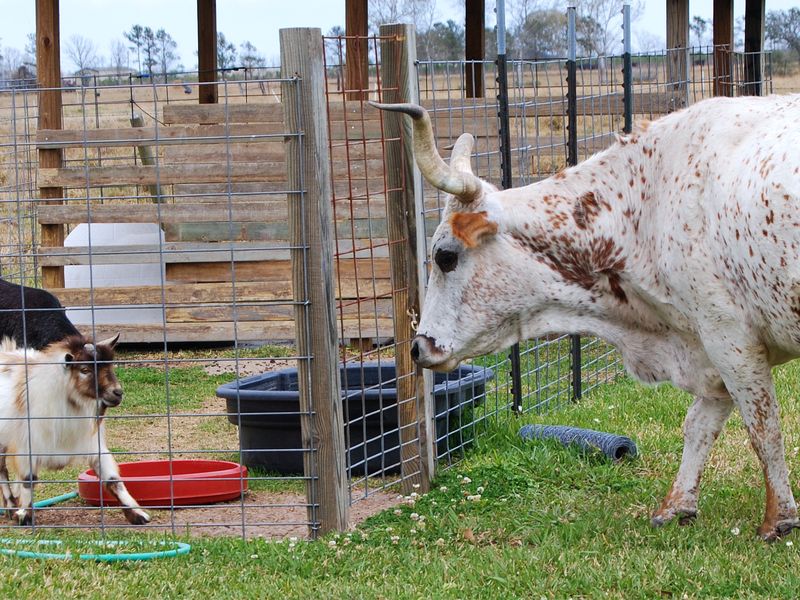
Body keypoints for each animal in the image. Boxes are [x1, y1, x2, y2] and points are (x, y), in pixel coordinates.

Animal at [0, 334, 150, 525]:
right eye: (84, 369)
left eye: (110, 365)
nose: (117, 393)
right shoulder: (28, 446)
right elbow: (28, 480)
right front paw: (25, 516)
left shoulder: (92, 444)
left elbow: (112, 479)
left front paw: (137, 514)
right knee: (2, 470)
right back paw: (12, 506)